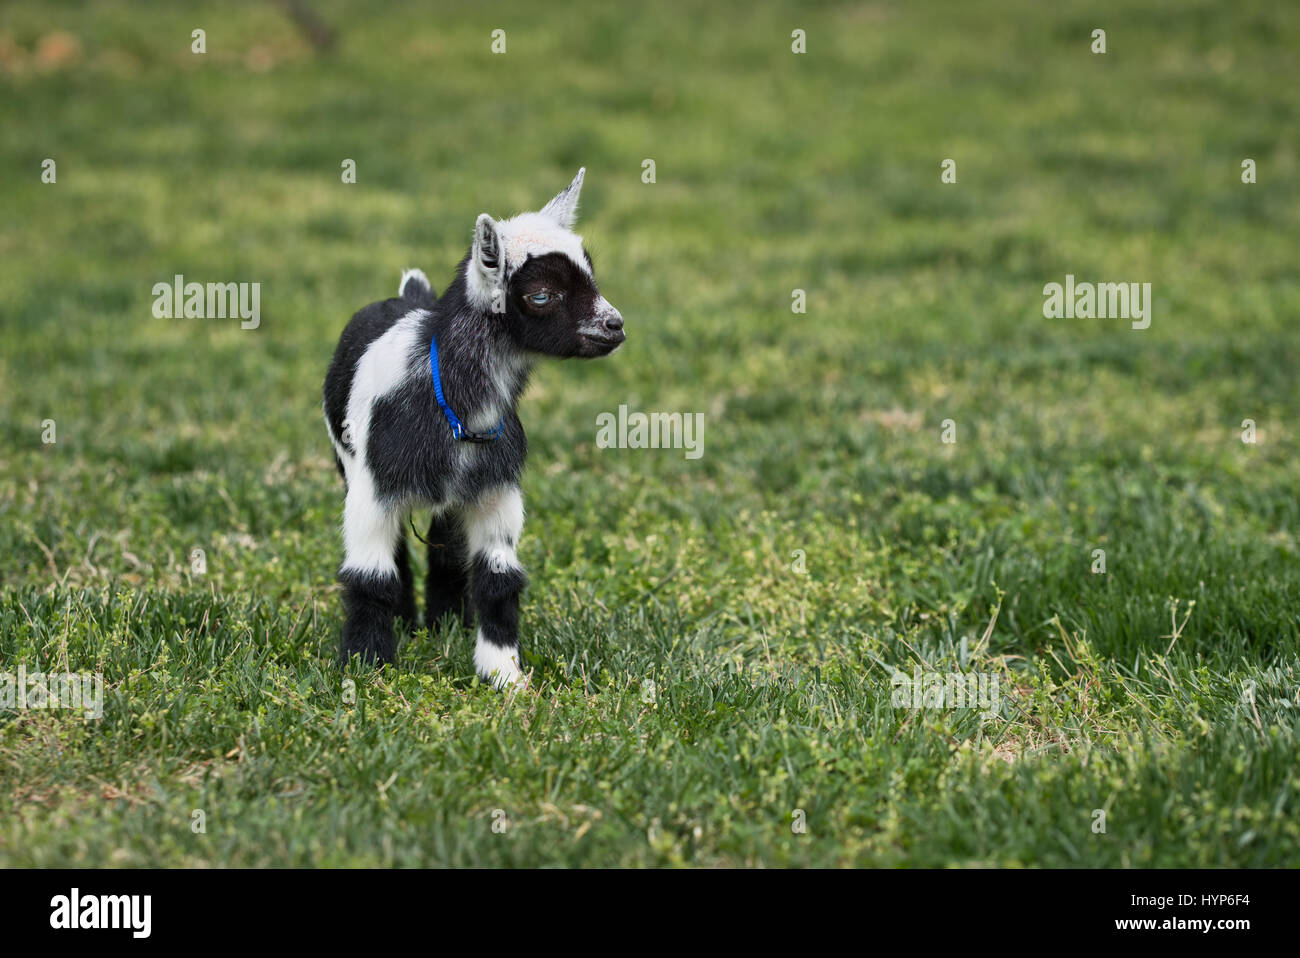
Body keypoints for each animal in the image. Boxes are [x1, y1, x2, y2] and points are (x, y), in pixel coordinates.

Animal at [322, 169, 624, 687]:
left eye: (590, 272)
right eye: (541, 295)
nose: (615, 326)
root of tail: (406, 296)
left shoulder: (496, 487)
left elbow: (498, 578)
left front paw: (504, 674)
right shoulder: (373, 489)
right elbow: (369, 577)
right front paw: (366, 670)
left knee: (447, 543)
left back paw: (446, 623)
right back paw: (408, 621)